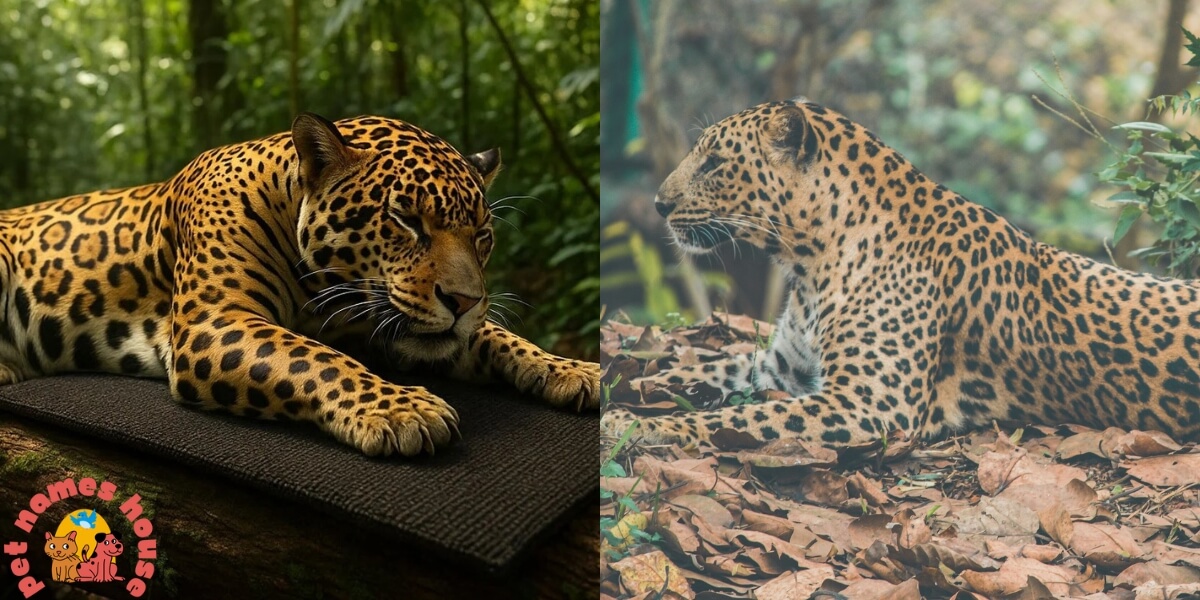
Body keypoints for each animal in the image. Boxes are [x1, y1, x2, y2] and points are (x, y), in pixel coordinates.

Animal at [0, 112, 599, 457]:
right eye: (406, 219)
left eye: (482, 236)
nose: (465, 300)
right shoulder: (216, 321)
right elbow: (315, 358)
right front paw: (402, 410)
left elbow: (495, 337)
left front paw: (572, 369)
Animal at [601, 98, 1200, 448]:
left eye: (715, 164)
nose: (657, 205)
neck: (809, 265)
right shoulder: (783, 369)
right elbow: (708, 367)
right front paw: (633, 381)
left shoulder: (867, 405)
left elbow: (734, 420)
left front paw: (639, 424)